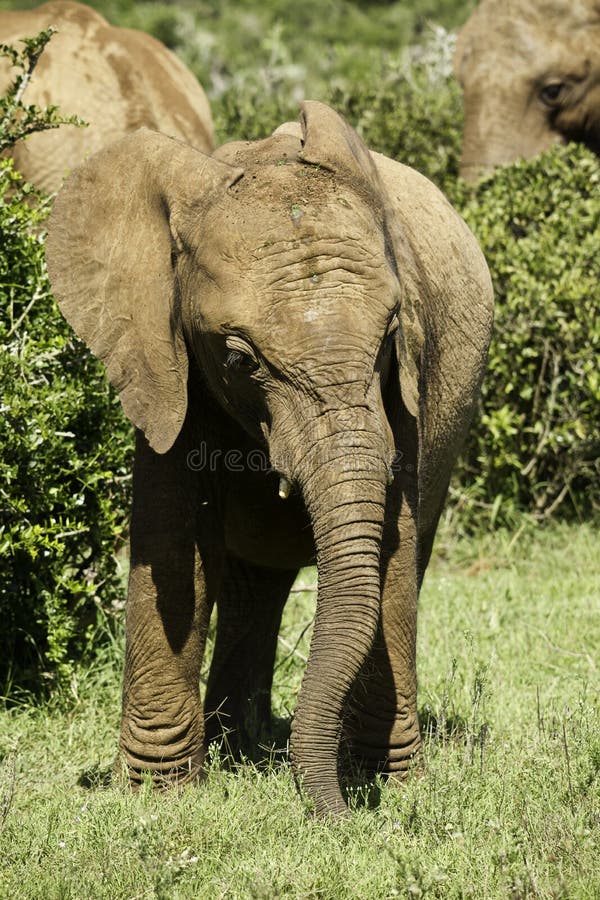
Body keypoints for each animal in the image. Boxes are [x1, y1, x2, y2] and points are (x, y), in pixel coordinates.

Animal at [45, 101, 493, 817]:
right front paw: (157, 798)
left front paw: (389, 784)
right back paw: (241, 742)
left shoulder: (408, 383)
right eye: (238, 359)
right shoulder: (163, 353)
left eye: (390, 335)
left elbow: (393, 550)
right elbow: (172, 542)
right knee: (253, 581)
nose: (336, 815)